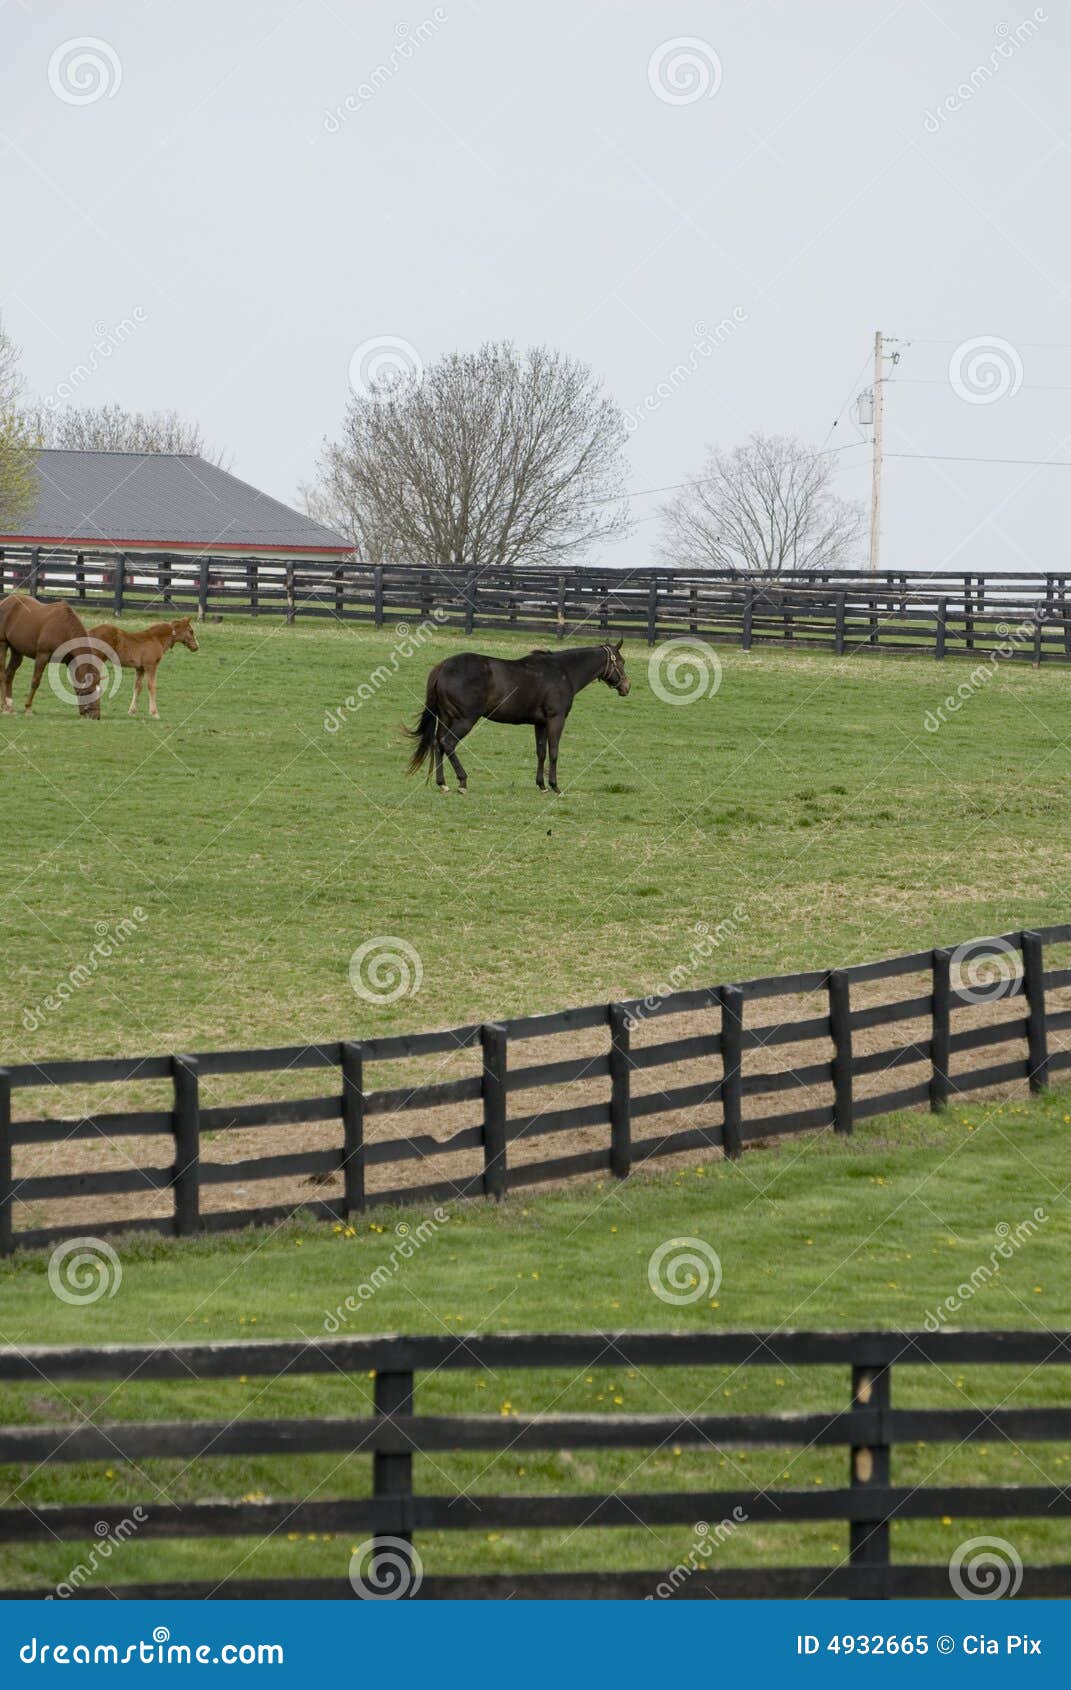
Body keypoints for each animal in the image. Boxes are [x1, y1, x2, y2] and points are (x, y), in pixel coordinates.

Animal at [406, 640, 630, 794]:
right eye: (621, 662)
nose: (627, 687)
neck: (563, 671)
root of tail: (443, 667)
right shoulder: (555, 719)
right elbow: (554, 752)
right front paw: (554, 786)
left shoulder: (540, 723)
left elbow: (541, 752)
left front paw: (541, 785)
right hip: (465, 719)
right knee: (448, 743)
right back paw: (462, 781)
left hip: (446, 717)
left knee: (438, 744)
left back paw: (442, 783)